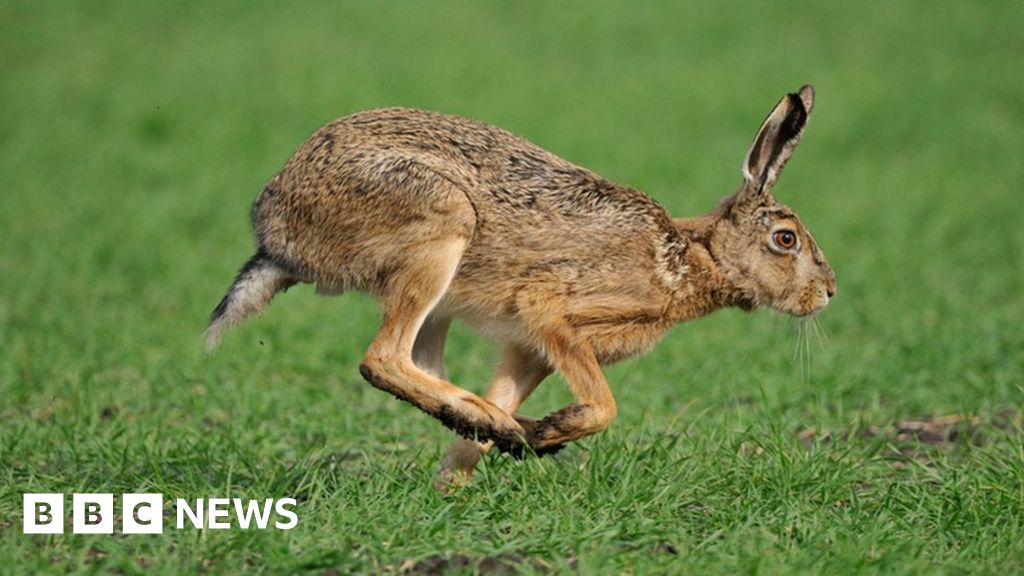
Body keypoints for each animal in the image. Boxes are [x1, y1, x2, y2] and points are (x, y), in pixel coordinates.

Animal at [205, 84, 835, 486]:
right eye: (785, 240)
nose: (828, 292)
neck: (689, 257)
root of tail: (276, 227)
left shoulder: (531, 348)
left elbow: (507, 396)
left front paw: (464, 477)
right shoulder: (553, 313)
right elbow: (604, 406)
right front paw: (544, 431)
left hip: (439, 292)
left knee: (421, 365)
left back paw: (489, 423)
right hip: (441, 226)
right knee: (382, 359)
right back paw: (496, 422)